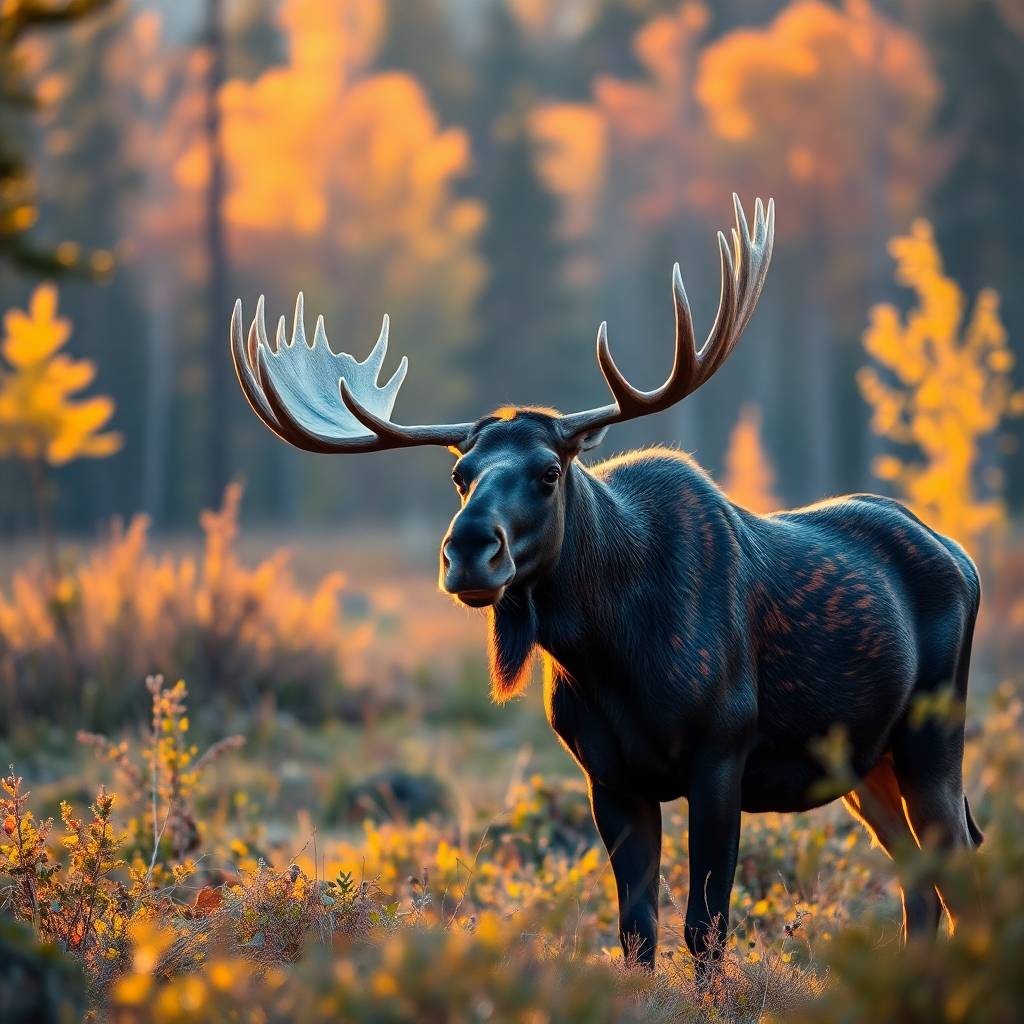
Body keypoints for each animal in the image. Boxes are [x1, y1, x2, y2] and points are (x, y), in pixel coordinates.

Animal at [230, 195, 983, 971]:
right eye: (460, 476)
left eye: (548, 471)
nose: (468, 550)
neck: (609, 652)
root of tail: (959, 555)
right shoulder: (608, 777)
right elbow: (636, 931)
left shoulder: (723, 752)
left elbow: (705, 926)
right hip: (865, 766)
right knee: (921, 880)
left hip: (934, 736)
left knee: (958, 859)